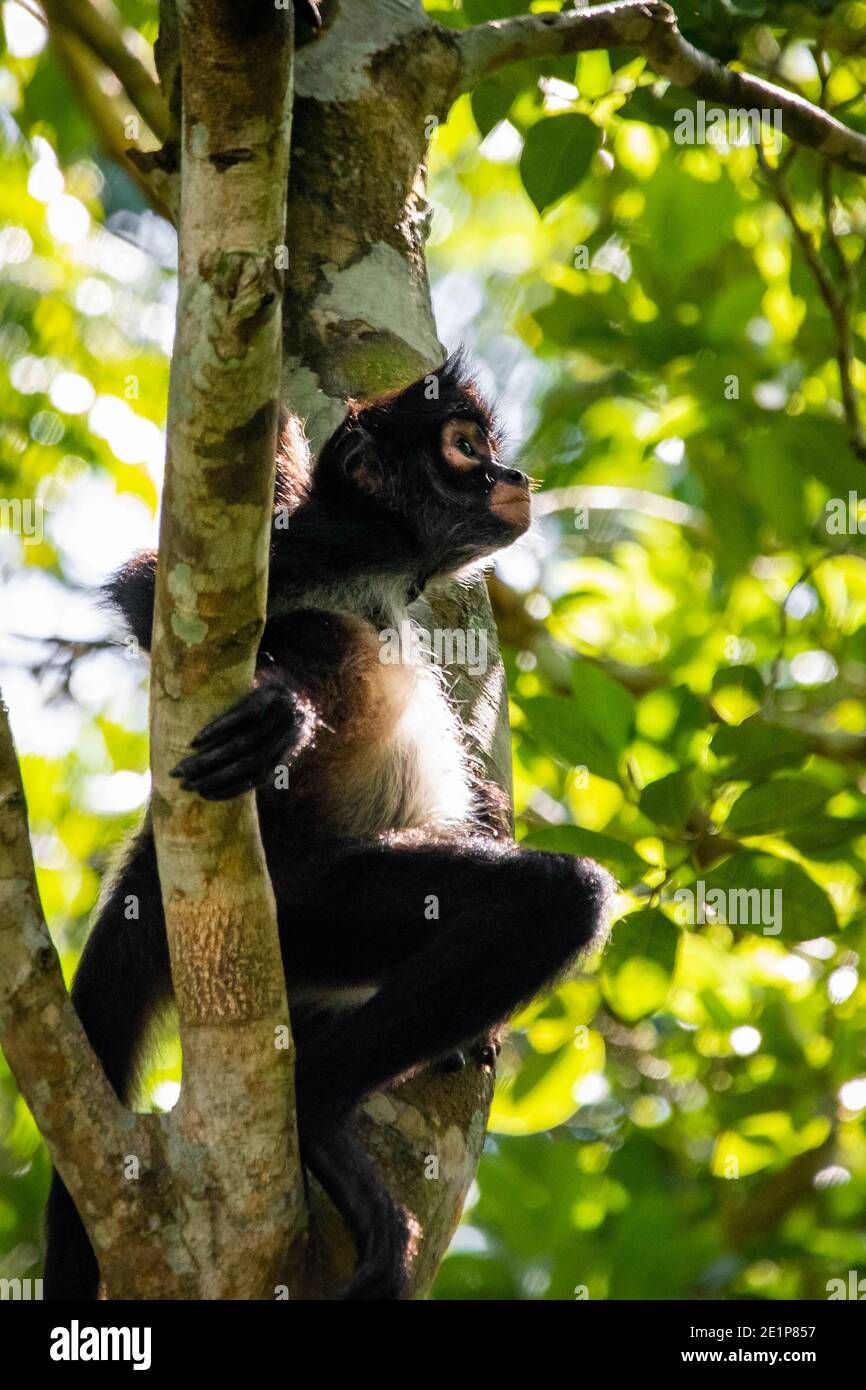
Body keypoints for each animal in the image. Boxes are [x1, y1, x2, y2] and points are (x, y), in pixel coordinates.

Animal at [43, 354, 614, 1301]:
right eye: (466, 449)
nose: (513, 476)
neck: (393, 560)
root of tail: (146, 876)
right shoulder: (336, 542)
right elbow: (147, 588)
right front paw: (279, 711)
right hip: (308, 902)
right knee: (552, 893)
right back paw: (316, 1117)